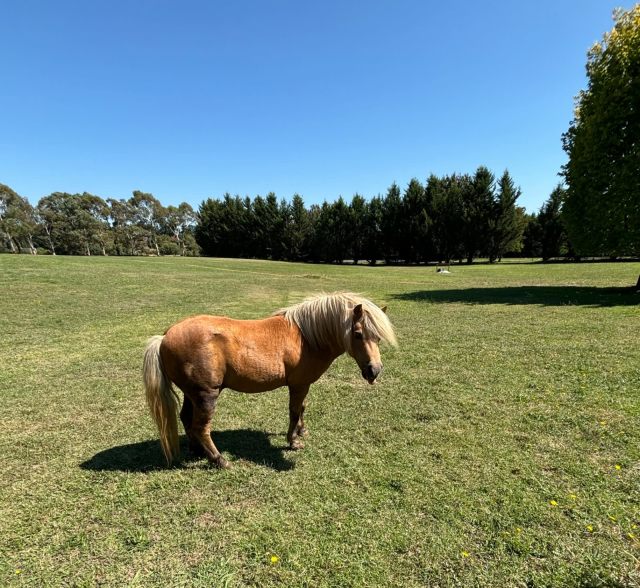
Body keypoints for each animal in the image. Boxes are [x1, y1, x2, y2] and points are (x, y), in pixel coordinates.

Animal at [142, 292, 397, 468]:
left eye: (378, 337)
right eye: (357, 334)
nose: (374, 370)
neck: (306, 337)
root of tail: (164, 337)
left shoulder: (303, 384)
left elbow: (302, 408)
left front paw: (302, 432)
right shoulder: (298, 385)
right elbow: (294, 411)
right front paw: (293, 441)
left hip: (192, 393)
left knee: (187, 419)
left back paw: (197, 451)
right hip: (207, 395)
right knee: (201, 427)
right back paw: (218, 459)